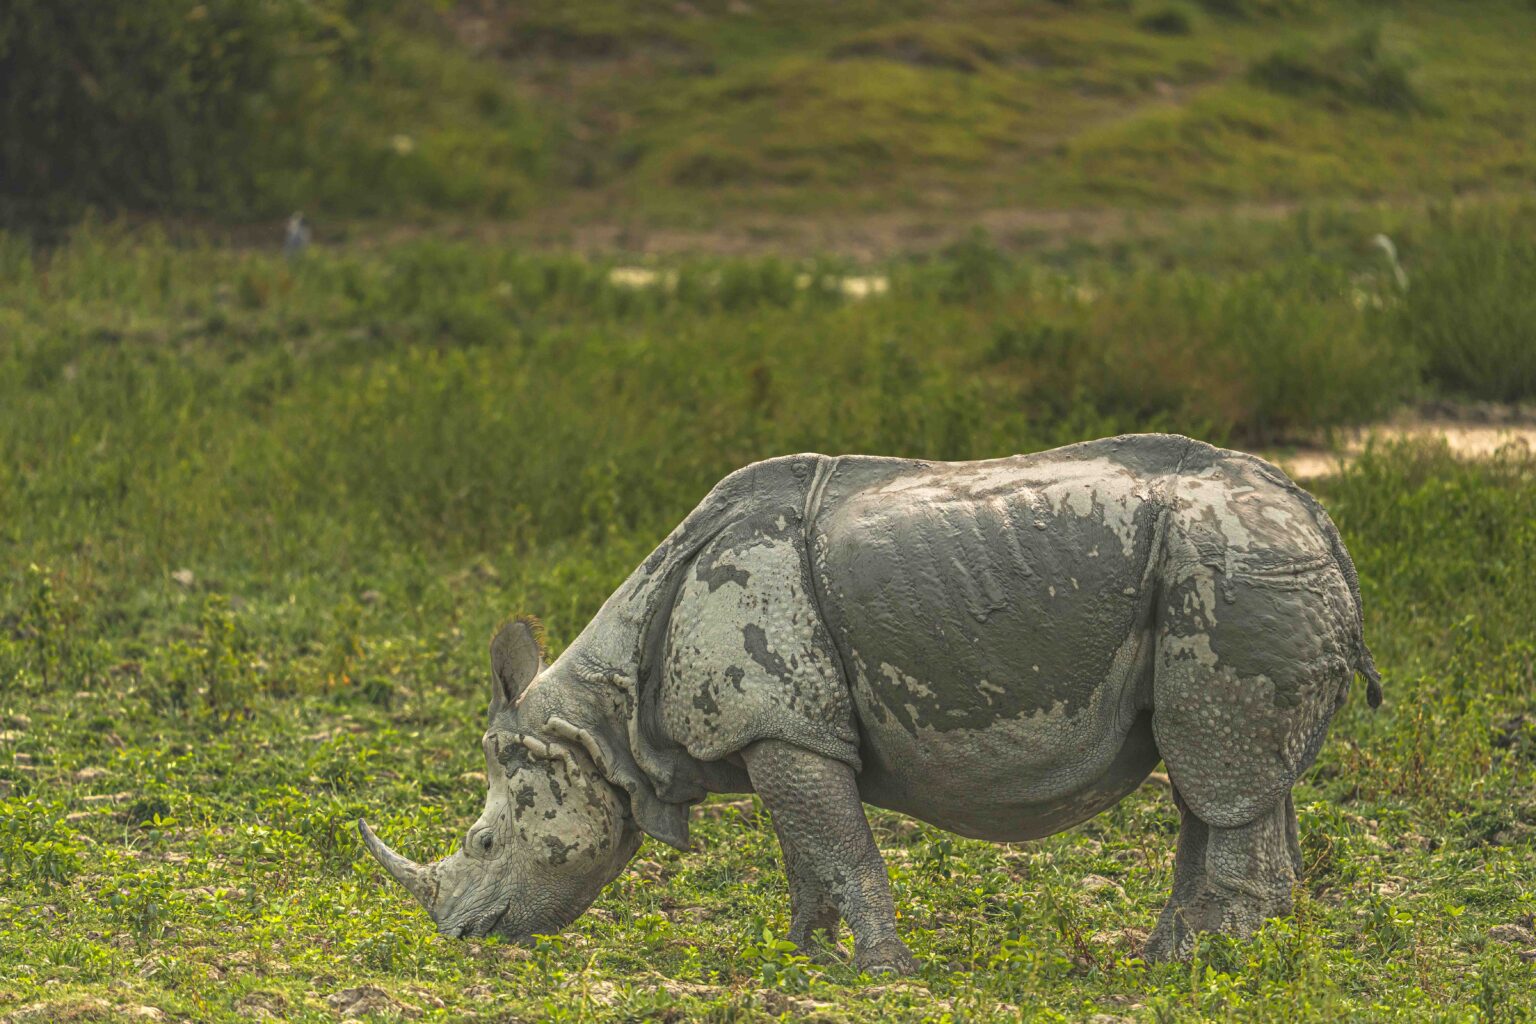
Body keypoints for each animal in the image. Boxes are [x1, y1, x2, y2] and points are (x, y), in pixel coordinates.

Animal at [360, 434, 1383, 971]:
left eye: (483, 841)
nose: (461, 937)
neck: (597, 722)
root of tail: (1324, 525)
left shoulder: (788, 728)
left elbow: (842, 848)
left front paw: (881, 975)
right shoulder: (779, 733)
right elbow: (807, 854)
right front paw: (804, 959)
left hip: (1239, 569)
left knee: (1219, 772)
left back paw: (1210, 974)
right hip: (1241, 573)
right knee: (1224, 777)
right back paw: (1190, 962)